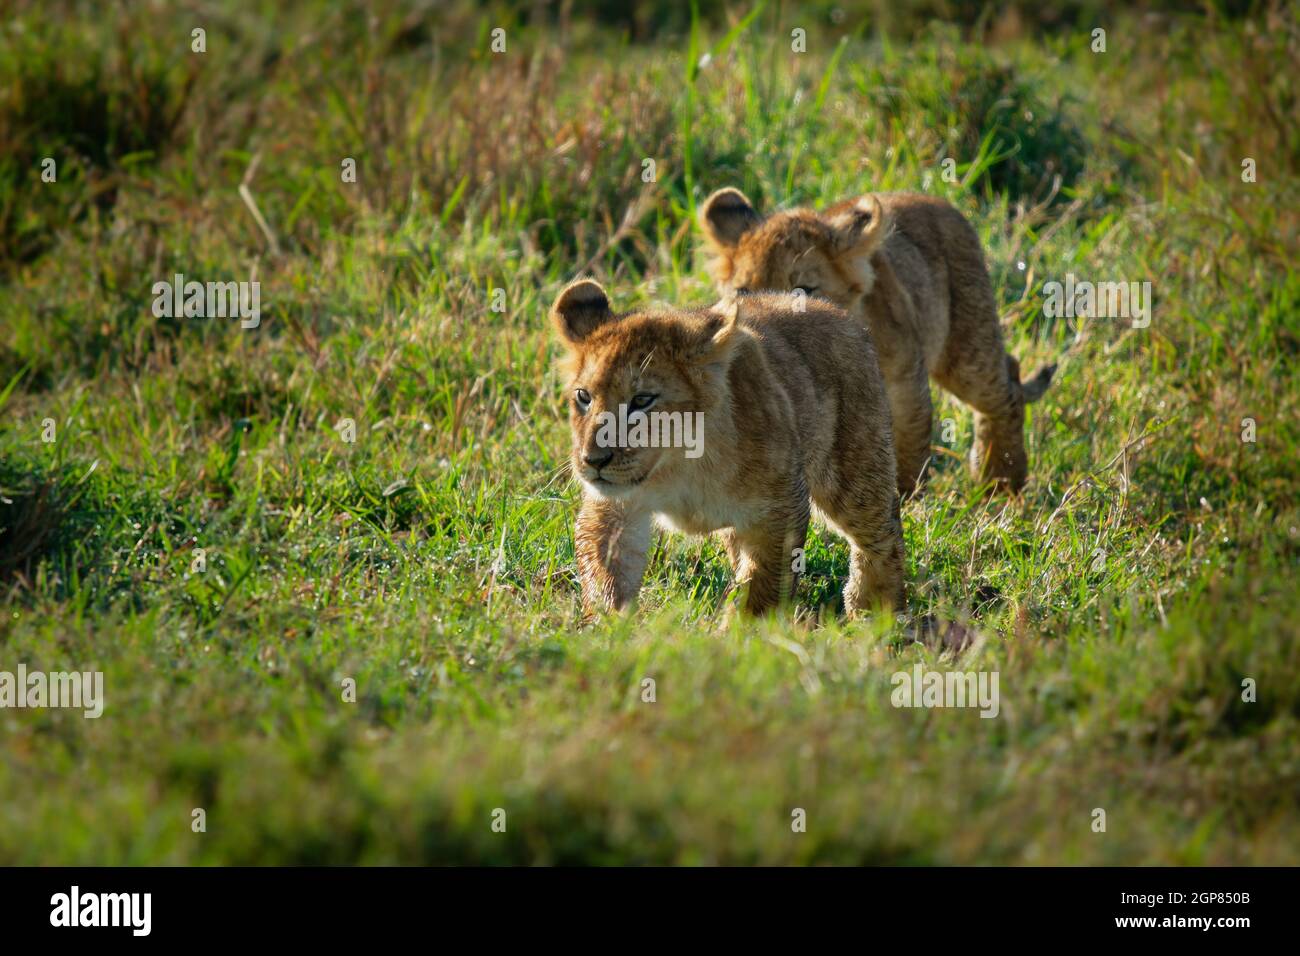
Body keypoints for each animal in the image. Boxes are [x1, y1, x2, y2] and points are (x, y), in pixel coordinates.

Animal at [550, 277, 905, 618]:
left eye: (642, 400)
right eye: (584, 397)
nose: (593, 460)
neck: (679, 464)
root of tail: (834, 310)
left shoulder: (779, 508)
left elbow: (761, 584)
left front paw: (742, 630)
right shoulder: (615, 507)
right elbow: (606, 574)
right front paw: (613, 626)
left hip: (853, 475)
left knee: (882, 533)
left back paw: (878, 612)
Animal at [698, 188, 1055, 494]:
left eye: (803, 289)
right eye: (743, 291)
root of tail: (939, 201)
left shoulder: (904, 382)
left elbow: (908, 443)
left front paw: (907, 498)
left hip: (966, 351)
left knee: (1004, 392)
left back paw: (1001, 479)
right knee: (1011, 369)